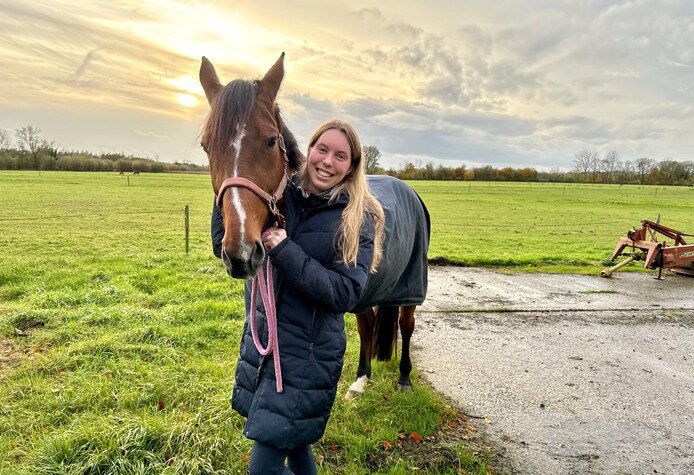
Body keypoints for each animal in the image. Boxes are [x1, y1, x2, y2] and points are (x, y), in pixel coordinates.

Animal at [199, 53, 430, 399]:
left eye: (271, 141)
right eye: (206, 146)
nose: (241, 252)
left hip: (410, 288)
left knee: (406, 325)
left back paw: (404, 377)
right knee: (368, 325)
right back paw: (361, 380)